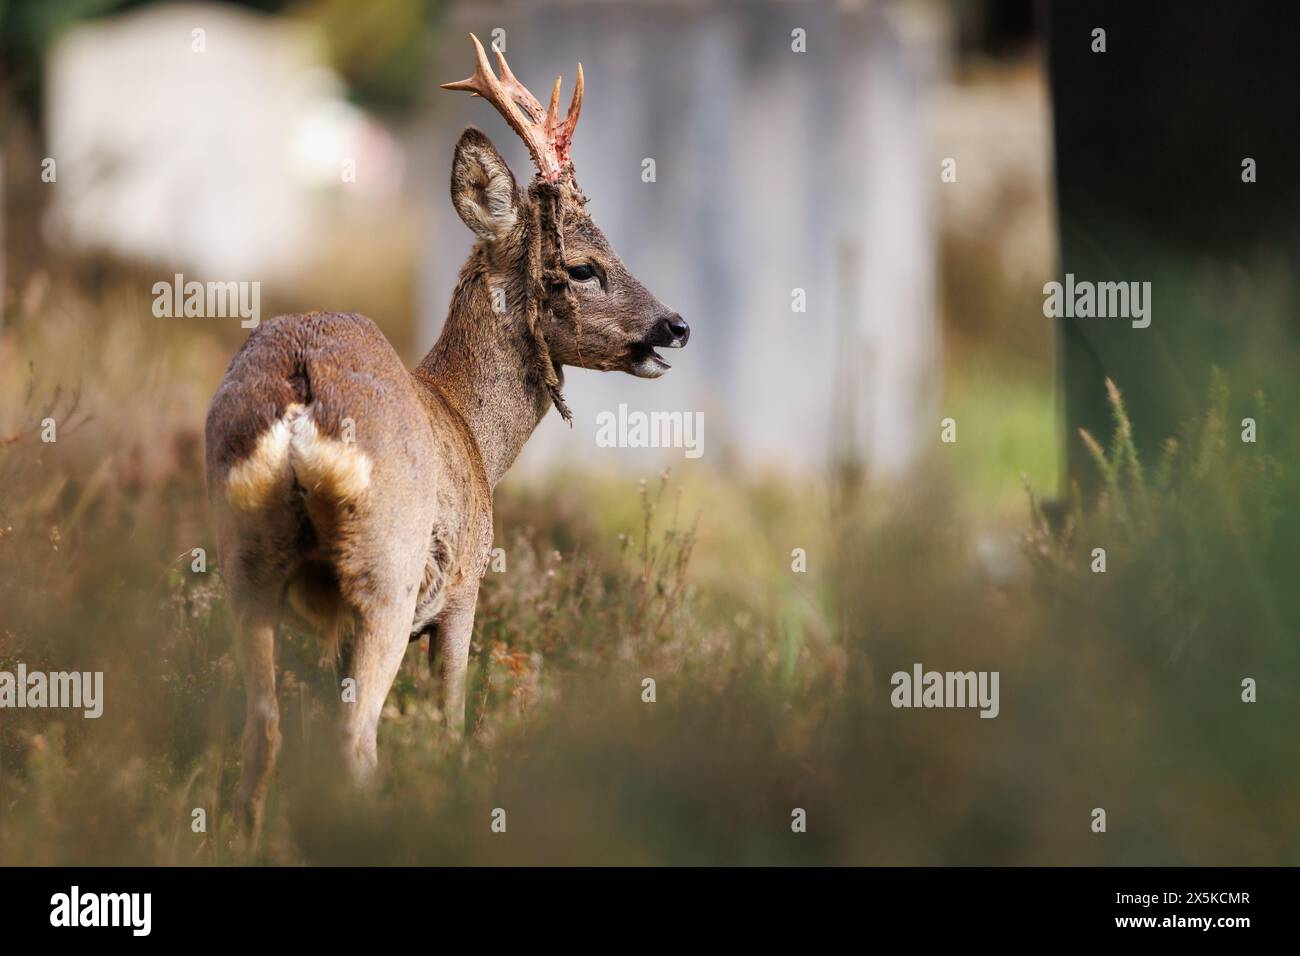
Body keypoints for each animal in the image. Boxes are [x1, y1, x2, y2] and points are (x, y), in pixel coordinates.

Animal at [204, 35, 689, 839]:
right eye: (582, 267)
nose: (674, 325)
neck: (473, 431)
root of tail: (301, 394)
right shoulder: (463, 591)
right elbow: (453, 720)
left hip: (246, 563)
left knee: (262, 728)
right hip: (387, 574)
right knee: (355, 739)